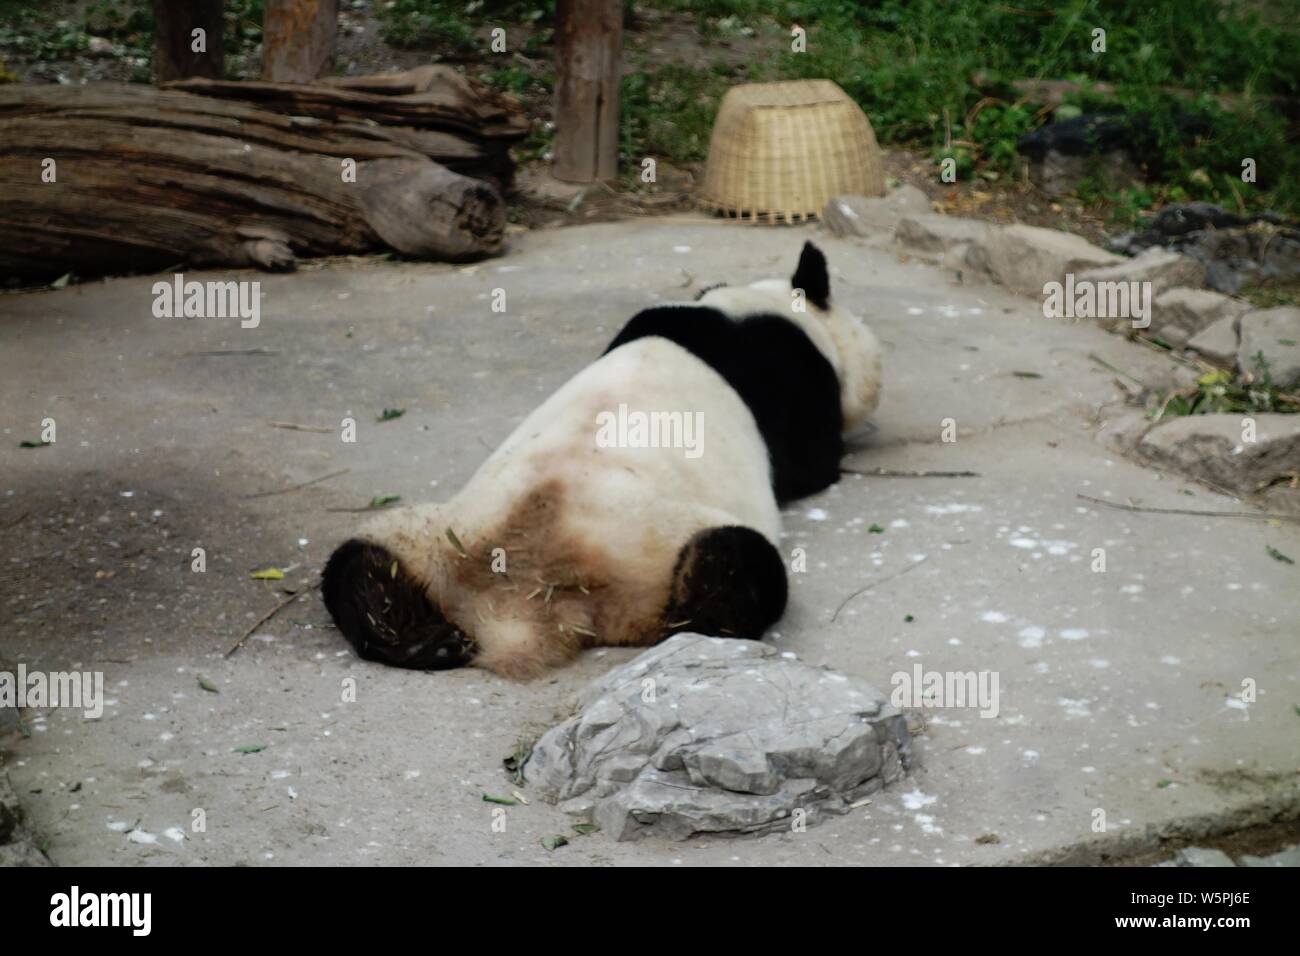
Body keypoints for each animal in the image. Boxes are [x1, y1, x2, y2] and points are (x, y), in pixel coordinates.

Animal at [321, 241, 883, 679]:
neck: (760, 307)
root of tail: (534, 602)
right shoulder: (797, 385)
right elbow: (814, 464)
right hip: (660, 538)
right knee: (738, 561)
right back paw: (699, 623)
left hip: (430, 537)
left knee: (356, 566)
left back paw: (423, 638)